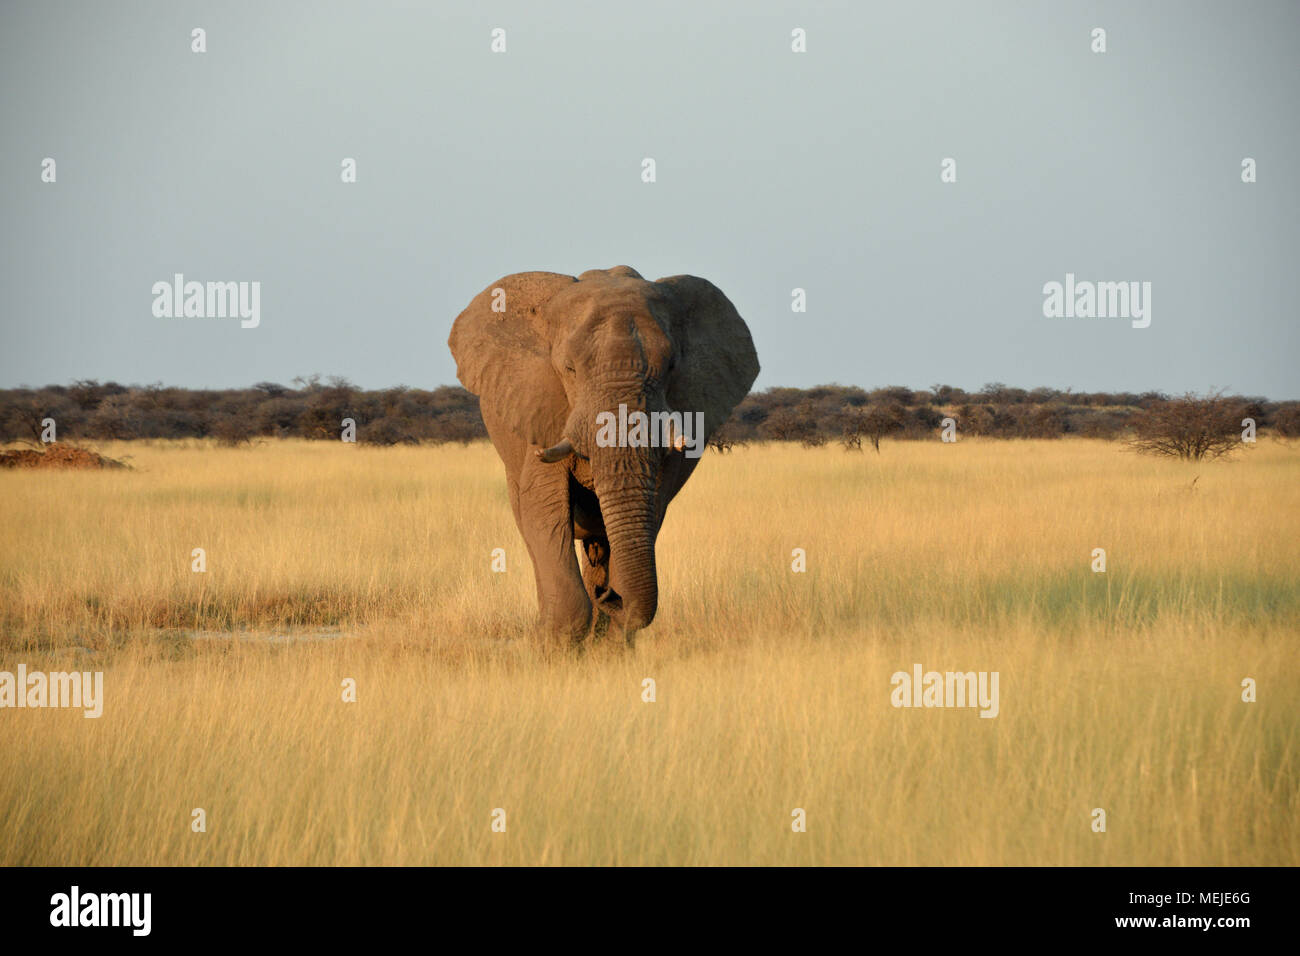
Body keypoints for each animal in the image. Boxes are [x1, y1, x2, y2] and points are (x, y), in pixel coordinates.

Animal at [448, 265, 759, 644]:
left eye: (671, 368)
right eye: (569, 369)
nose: (610, 595)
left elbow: (650, 510)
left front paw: (610, 640)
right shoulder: (544, 408)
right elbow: (543, 512)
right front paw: (557, 644)